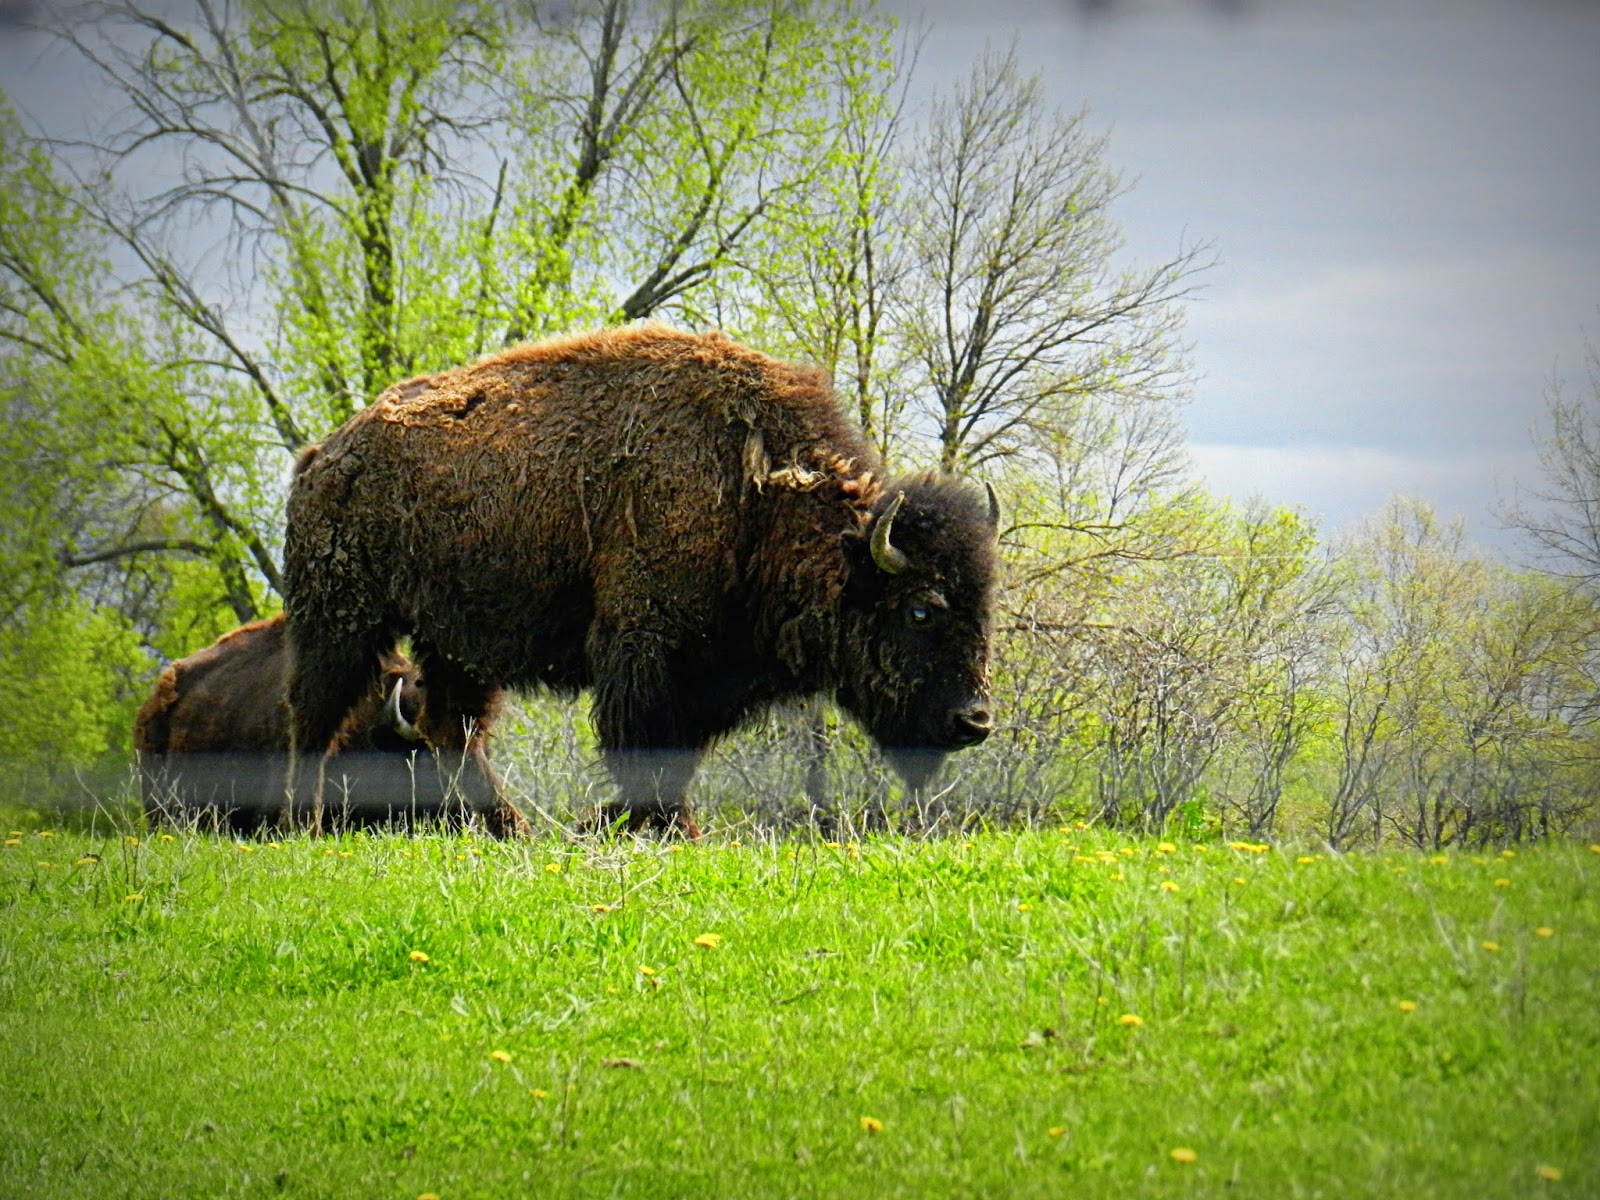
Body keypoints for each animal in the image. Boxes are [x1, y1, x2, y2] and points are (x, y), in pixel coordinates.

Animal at [283, 324, 998, 836]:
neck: (755, 496)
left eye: (985, 606)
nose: (976, 720)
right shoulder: (645, 644)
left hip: (457, 639)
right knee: (314, 716)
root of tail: (324, 457)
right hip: (340, 619)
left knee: (450, 728)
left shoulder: (711, 672)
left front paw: (620, 821)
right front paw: (658, 827)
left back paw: (511, 829)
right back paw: (303, 824)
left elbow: (679, 750)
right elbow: (645, 740)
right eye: (922, 609)